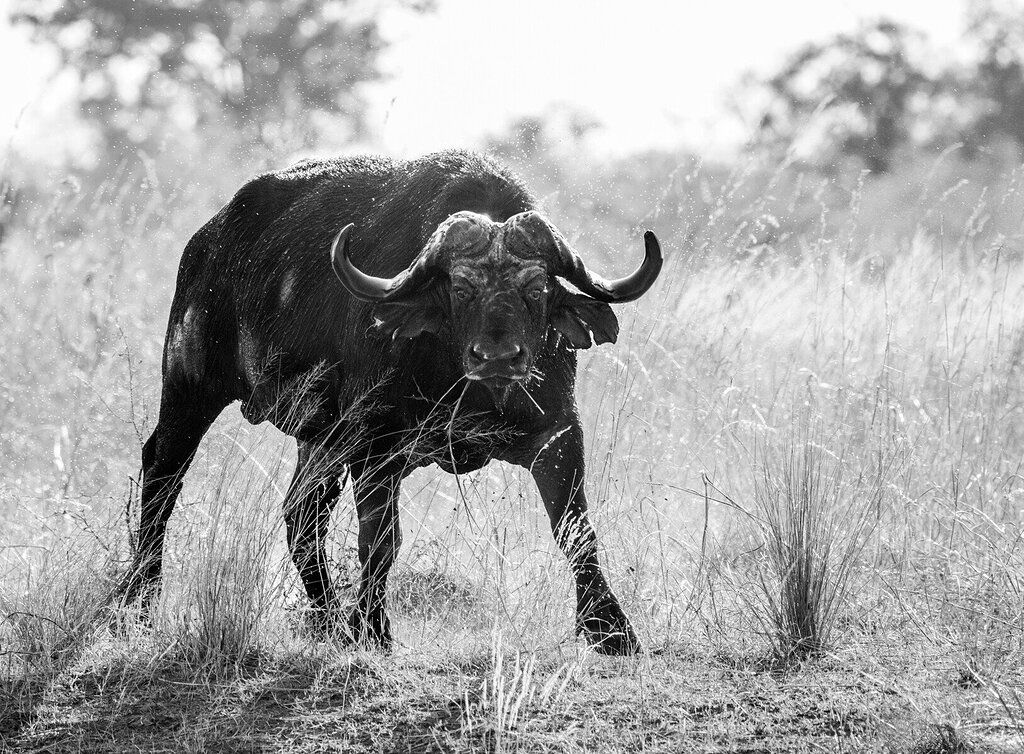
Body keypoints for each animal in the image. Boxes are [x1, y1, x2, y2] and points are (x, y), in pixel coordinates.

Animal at [121, 150, 662, 655]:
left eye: (536, 287)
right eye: (460, 288)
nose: (497, 356)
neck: (464, 384)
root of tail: (206, 243)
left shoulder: (558, 433)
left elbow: (576, 532)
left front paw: (611, 630)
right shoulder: (375, 444)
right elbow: (380, 540)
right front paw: (371, 628)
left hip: (318, 439)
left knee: (301, 518)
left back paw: (325, 621)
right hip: (189, 386)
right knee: (163, 475)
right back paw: (137, 601)